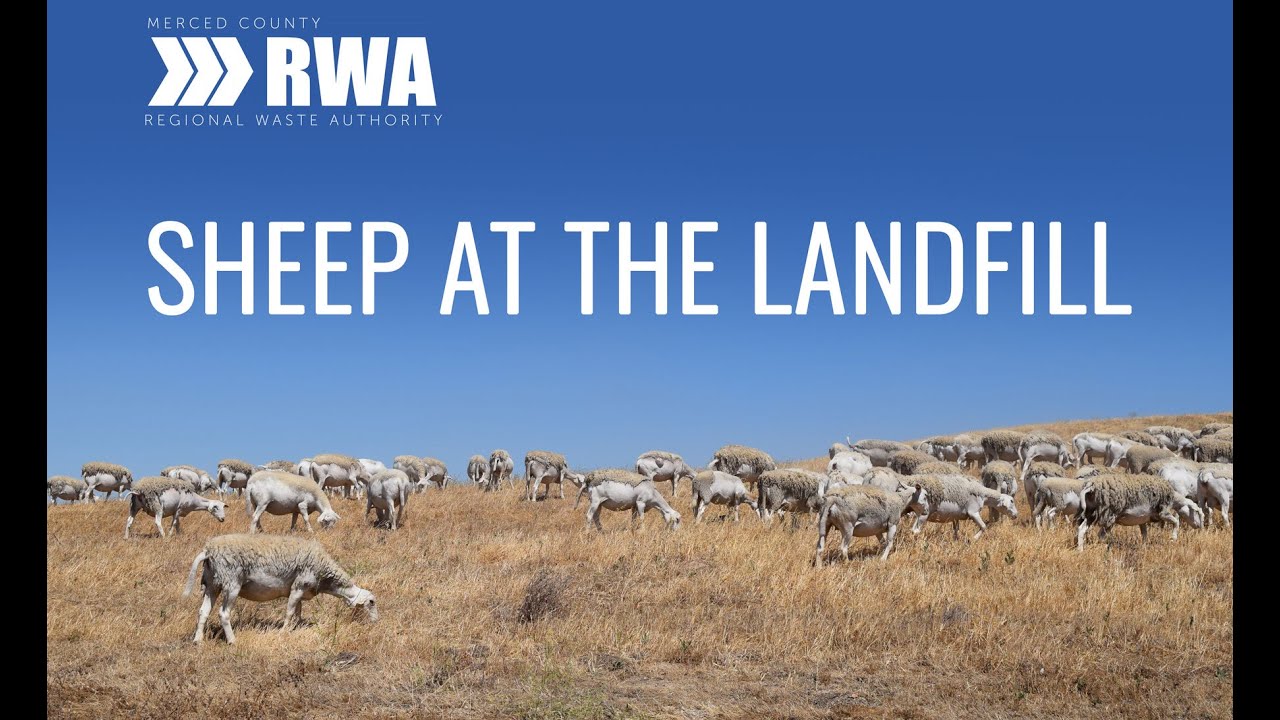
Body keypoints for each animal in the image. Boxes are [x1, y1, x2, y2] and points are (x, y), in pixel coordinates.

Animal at [183, 533, 377, 644]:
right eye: (372, 602)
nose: (376, 623)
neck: (325, 577)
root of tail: (208, 551)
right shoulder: (299, 586)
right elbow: (290, 613)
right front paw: (283, 632)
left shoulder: (299, 591)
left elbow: (298, 613)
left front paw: (294, 630)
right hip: (231, 583)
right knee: (223, 614)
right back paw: (232, 641)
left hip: (211, 584)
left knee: (203, 612)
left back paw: (197, 641)